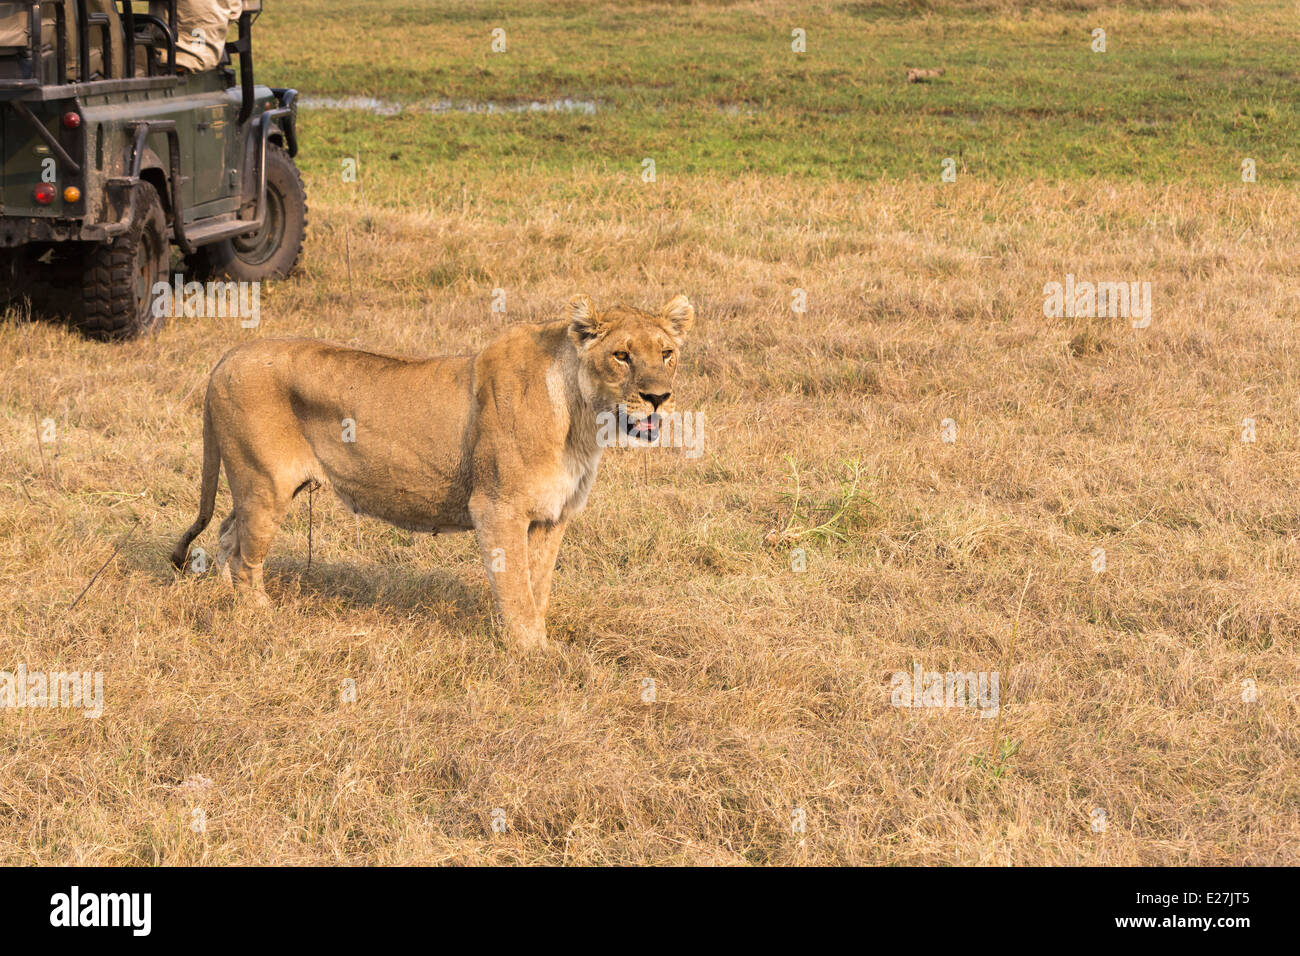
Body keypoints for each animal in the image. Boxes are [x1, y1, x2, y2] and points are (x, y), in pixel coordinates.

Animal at [170, 293, 695, 649]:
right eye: (621, 355)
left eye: (666, 353)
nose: (658, 397)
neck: (582, 420)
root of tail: (228, 355)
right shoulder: (497, 508)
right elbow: (516, 589)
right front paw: (531, 656)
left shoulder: (552, 515)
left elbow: (538, 584)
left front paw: (539, 643)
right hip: (265, 485)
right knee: (246, 558)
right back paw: (259, 618)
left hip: (261, 487)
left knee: (227, 534)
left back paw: (222, 601)